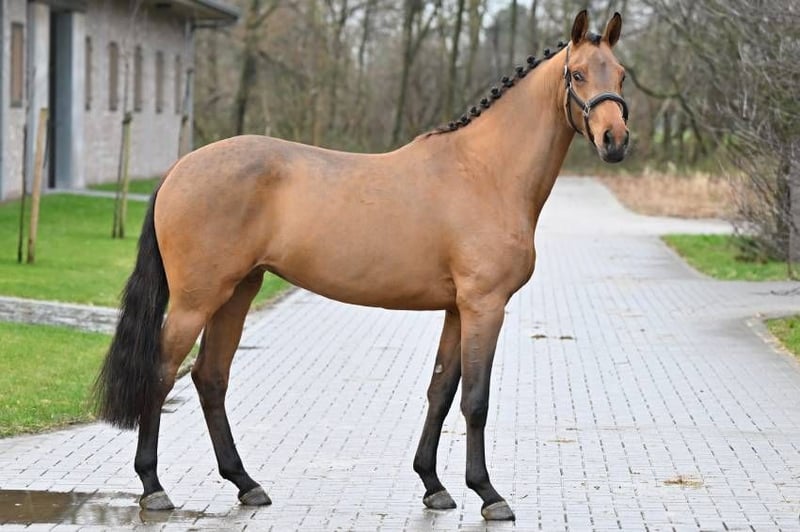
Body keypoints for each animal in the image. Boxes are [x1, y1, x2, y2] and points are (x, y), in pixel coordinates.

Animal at [95, 9, 628, 521]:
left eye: (621, 75)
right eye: (577, 74)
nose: (615, 140)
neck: (485, 172)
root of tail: (178, 170)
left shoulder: (458, 309)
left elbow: (440, 389)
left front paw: (433, 486)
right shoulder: (485, 306)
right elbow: (474, 400)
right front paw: (488, 494)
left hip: (238, 291)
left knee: (210, 377)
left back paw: (246, 484)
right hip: (197, 299)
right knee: (162, 373)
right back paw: (154, 488)